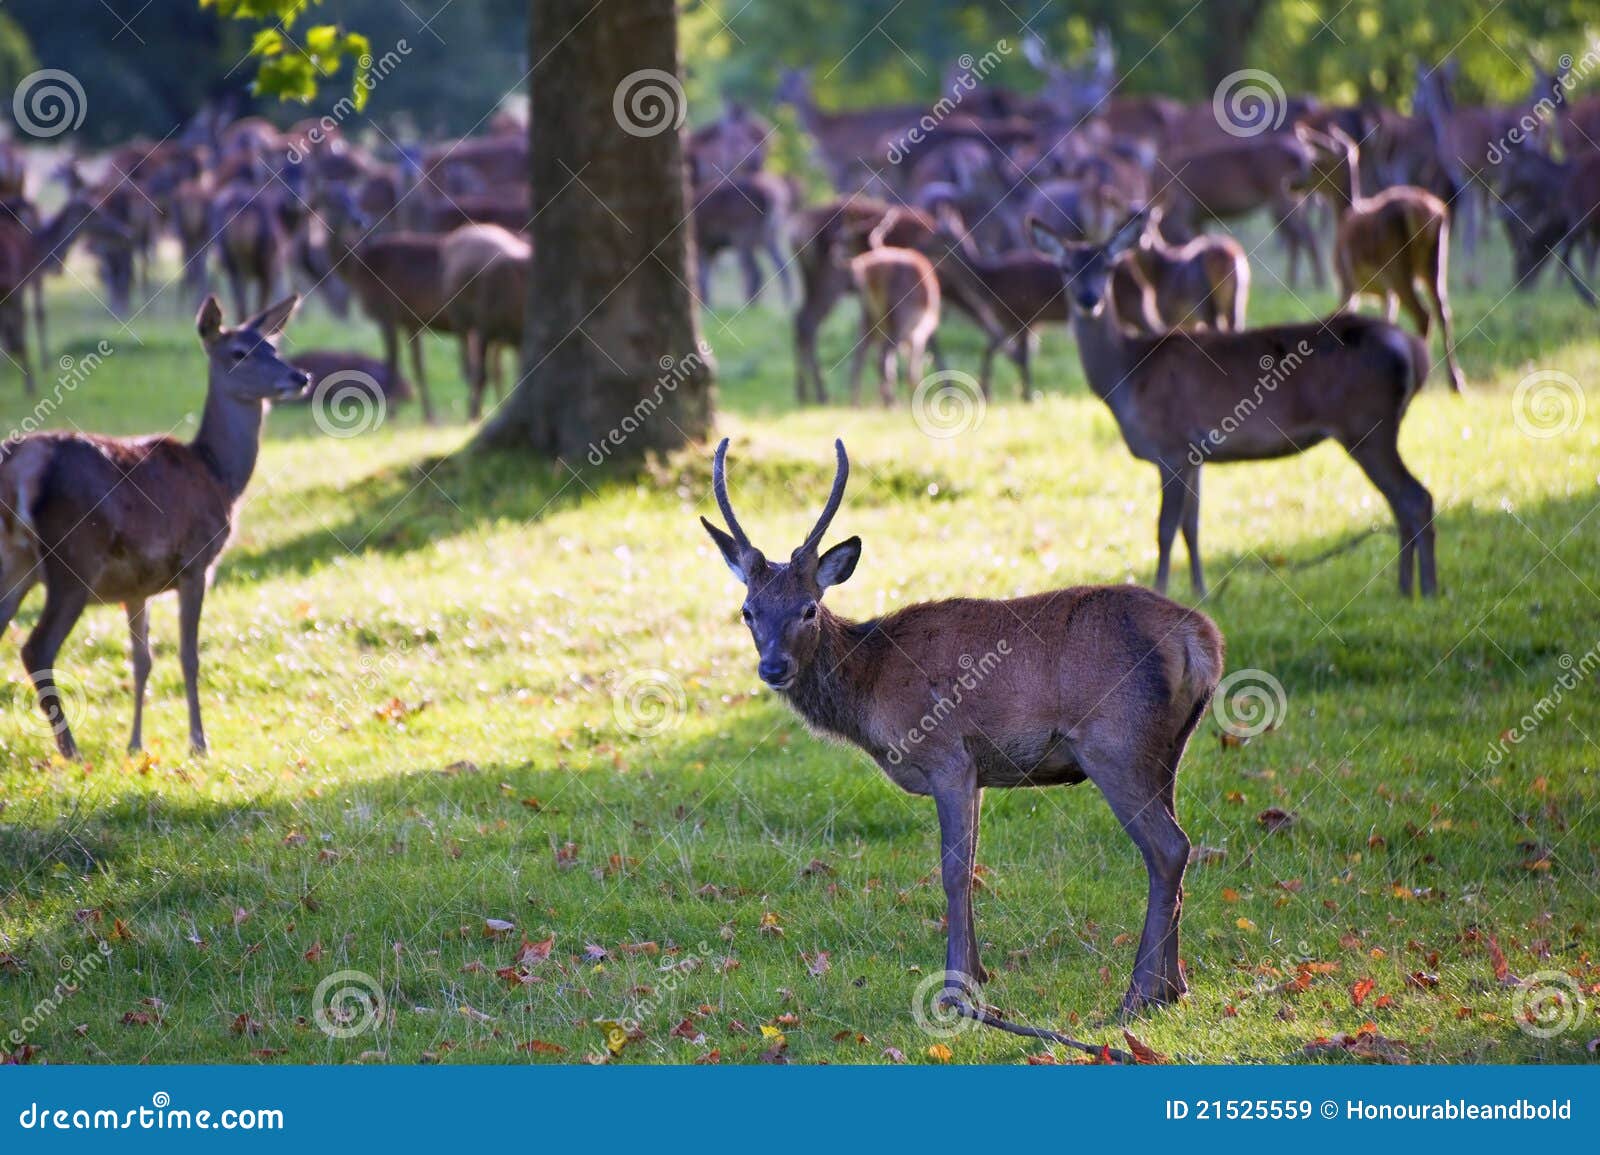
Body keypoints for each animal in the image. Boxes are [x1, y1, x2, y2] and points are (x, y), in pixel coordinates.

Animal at [0, 295, 311, 760]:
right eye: (239, 353)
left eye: (273, 347)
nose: (300, 376)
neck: (218, 477)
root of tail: (21, 463)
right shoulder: (197, 563)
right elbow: (188, 655)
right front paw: (199, 743)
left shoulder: (137, 586)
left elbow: (141, 661)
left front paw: (135, 744)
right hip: (72, 559)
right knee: (36, 647)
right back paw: (72, 751)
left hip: (16, 563)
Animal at [701, 438, 1223, 1022]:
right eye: (748, 611)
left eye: (809, 608)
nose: (773, 667)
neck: (872, 688)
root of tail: (1203, 642)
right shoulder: (976, 771)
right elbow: (972, 867)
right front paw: (978, 974)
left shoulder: (946, 754)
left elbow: (952, 871)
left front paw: (955, 990)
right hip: (1168, 747)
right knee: (1176, 850)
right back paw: (1174, 985)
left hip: (1115, 743)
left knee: (1168, 847)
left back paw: (1139, 994)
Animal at [1029, 209, 1438, 599]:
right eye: (1065, 268)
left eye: (1109, 267)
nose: (1089, 300)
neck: (1126, 378)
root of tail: (1414, 351)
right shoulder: (1194, 454)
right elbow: (1191, 526)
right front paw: (1201, 592)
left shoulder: (1171, 447)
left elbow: (1164, 528)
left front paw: (1161, 590)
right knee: (1401, 501)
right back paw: (1406, 587)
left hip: (1367, 425)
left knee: (1416, 497)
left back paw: (1426, 591)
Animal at [1297, 124, 1466, 392]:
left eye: (1315, 161)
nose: (1291, 183)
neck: (1344, 214)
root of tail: (1427, 214)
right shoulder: (1386, 293)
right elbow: (1386, 322)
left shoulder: (1348, 282)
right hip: (1434, 263)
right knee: (1443, 310)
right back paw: (1456, 381)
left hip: (1398, 267)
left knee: (1423, 315)